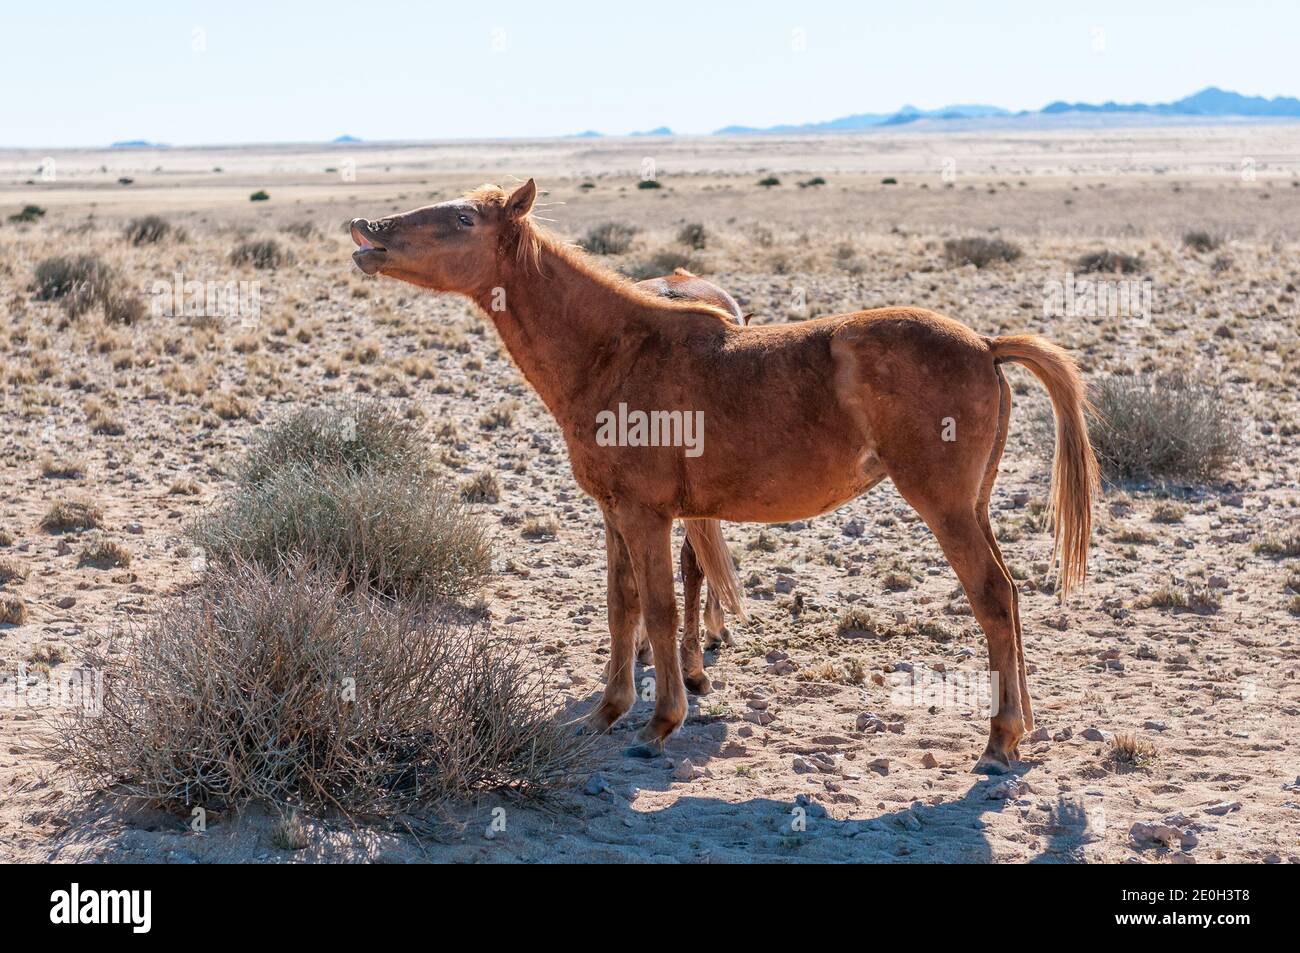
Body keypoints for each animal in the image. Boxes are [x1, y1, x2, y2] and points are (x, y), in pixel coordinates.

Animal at [350, 180, 1099, 773]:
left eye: (463, 219)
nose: (367, 230)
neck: (614, 350)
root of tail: (985, 344)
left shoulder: (647, 515)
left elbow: (658, 608)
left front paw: (659, 723)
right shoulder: (615, 514)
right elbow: (622, 607)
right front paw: (607, 710)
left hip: (945, 508)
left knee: (993, 598)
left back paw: (999, 740)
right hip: (973, 507)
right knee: (1010, 598)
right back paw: (1021, 731)